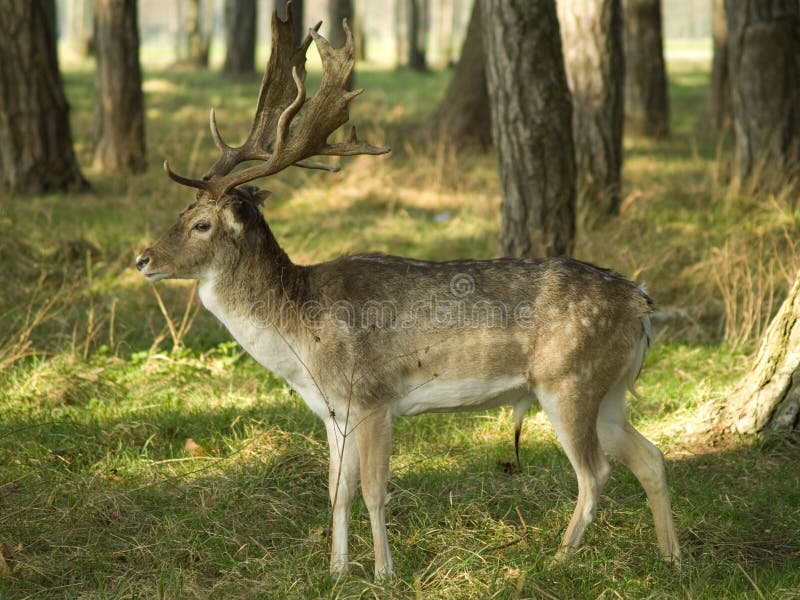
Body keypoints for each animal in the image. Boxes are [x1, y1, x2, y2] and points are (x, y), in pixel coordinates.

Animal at [135, 6, 681, 580]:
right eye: (180, 214)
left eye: (200, 224)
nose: (143, 259)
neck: (303, 341)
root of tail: (642, 301)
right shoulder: (333, 413)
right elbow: (337, 492)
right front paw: (336, 571)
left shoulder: (373, 398)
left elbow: (374, 491)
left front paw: (383, 572)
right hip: (610, 391)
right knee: (651, 456)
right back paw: (672, 558)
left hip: (567, 380)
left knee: (595, 473)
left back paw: (553, 560)